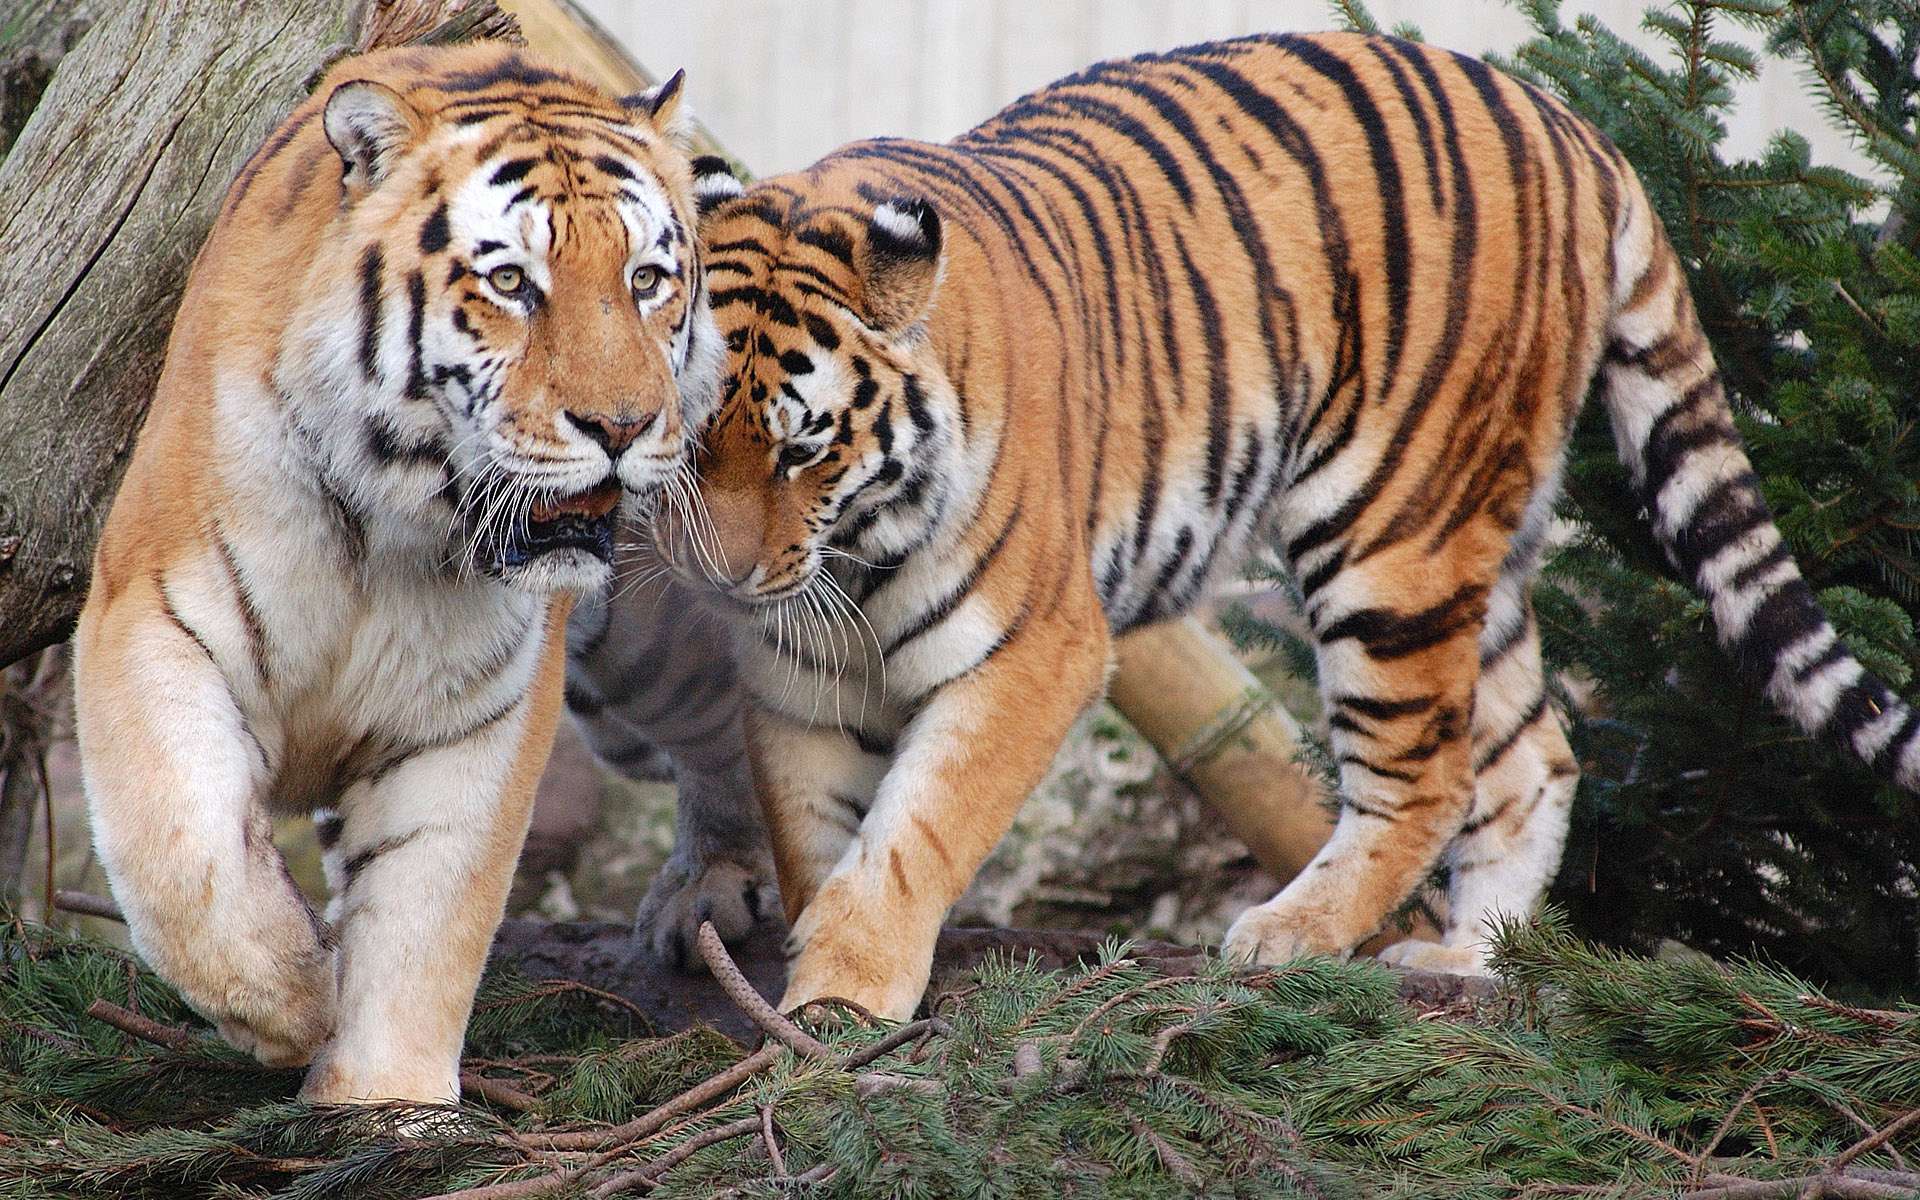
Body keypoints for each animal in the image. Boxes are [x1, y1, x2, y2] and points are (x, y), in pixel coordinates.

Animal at [72, 43, 721, 1104]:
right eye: (512, 282)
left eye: (647, 279)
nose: (623, 426)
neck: (395, 528)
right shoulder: (154, 614)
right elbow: (185, 847)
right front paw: (290, 1000)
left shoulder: (478, 713)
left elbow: (428, 914)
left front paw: (384, 1103)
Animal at [660, 31, 1920, 1021]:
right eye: (688, 442)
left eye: (802, 448)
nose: (720, 581)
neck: (852, 552)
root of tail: (1571, 125)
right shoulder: (795, 671)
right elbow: (814, 826)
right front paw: (809, 962)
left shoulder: (1034, 650)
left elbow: (914, 831)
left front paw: (846, 987)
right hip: (1482, 545)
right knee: (1531, 757)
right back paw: (1468, 963)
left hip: (1389, 536)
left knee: (1429, 778)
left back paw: (1288, 936)